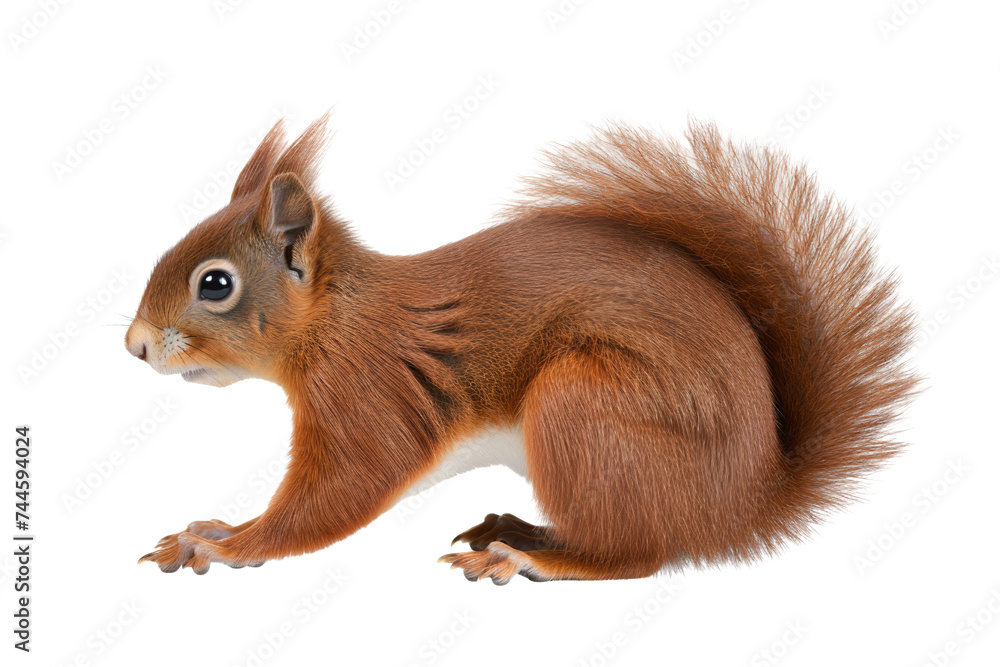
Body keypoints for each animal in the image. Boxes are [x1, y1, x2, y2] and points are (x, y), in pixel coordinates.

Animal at [126, 116, 917, 583]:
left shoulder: (369, 392)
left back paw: (527, 558)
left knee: (636, 556)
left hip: (584, 407)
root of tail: (749, 502)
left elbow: (334, 496)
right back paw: (516, 529)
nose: (133, 346)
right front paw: (212, 530)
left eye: (216, 283)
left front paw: (229, 543)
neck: (336, 318)